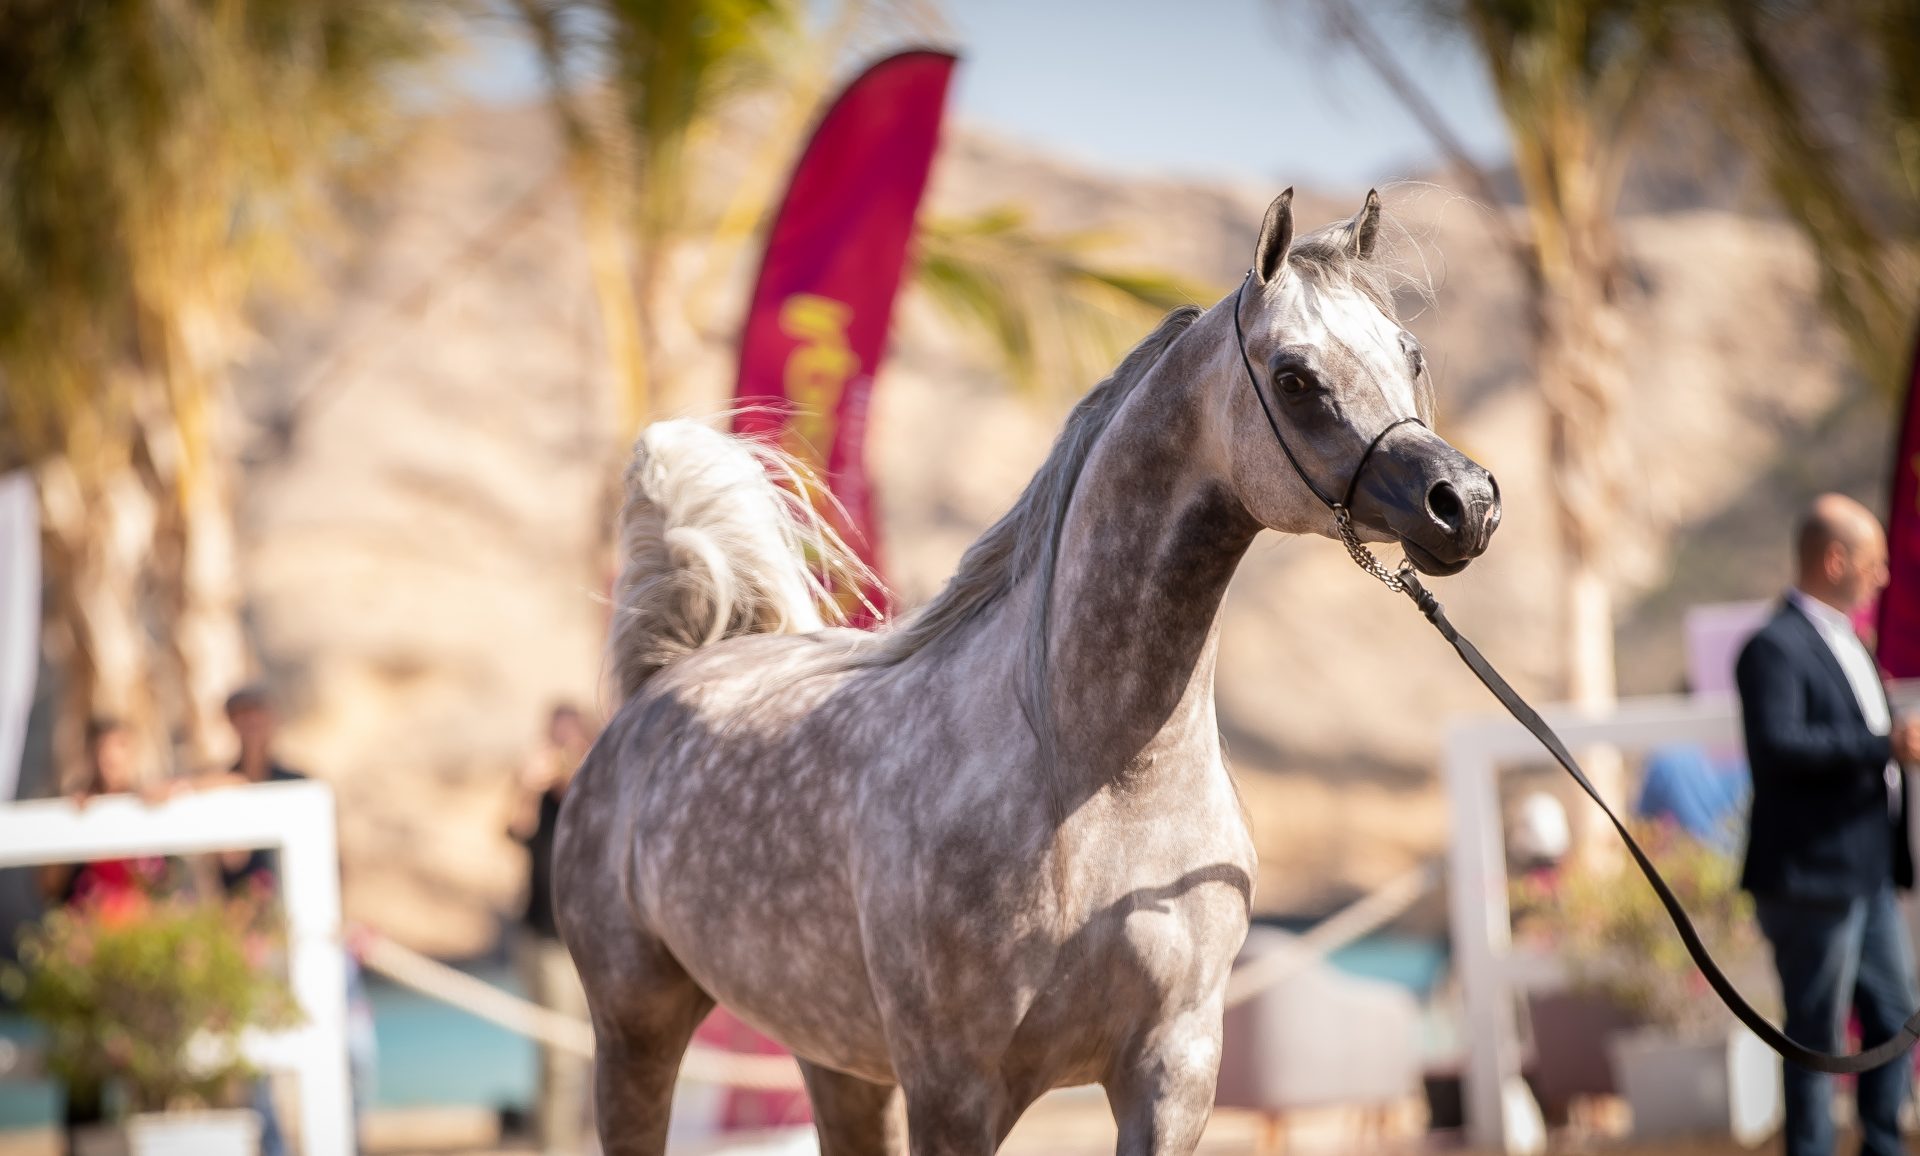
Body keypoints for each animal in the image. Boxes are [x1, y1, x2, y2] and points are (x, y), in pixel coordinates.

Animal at [555, 189, 1502, 1155]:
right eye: (1295, 378)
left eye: (1410, 355)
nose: (1465, 503)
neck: (1101, 778)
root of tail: (669, 676)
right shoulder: (956, 1088)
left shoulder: (1173, 1072)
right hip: (635, 1029)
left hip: (836, 1059)